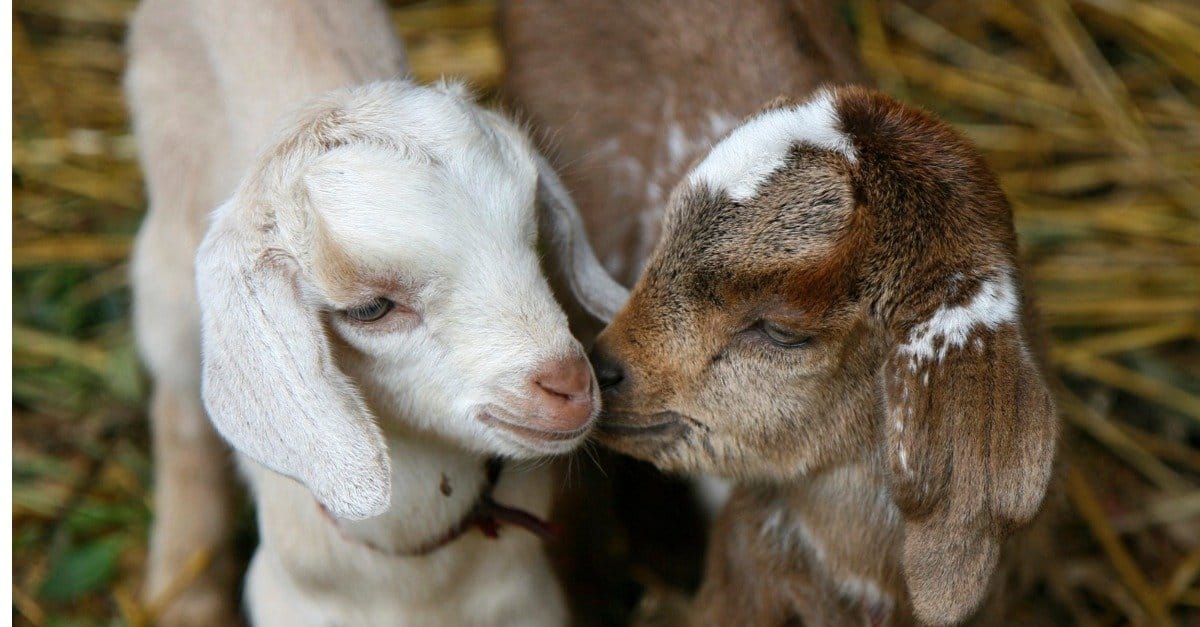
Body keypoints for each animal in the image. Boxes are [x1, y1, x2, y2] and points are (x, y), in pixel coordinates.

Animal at [126, 1, 622, 624]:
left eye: (532, 242)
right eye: (369, 308)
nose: (570, 386)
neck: (421, 585)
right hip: (167, 260)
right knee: (179, 411)